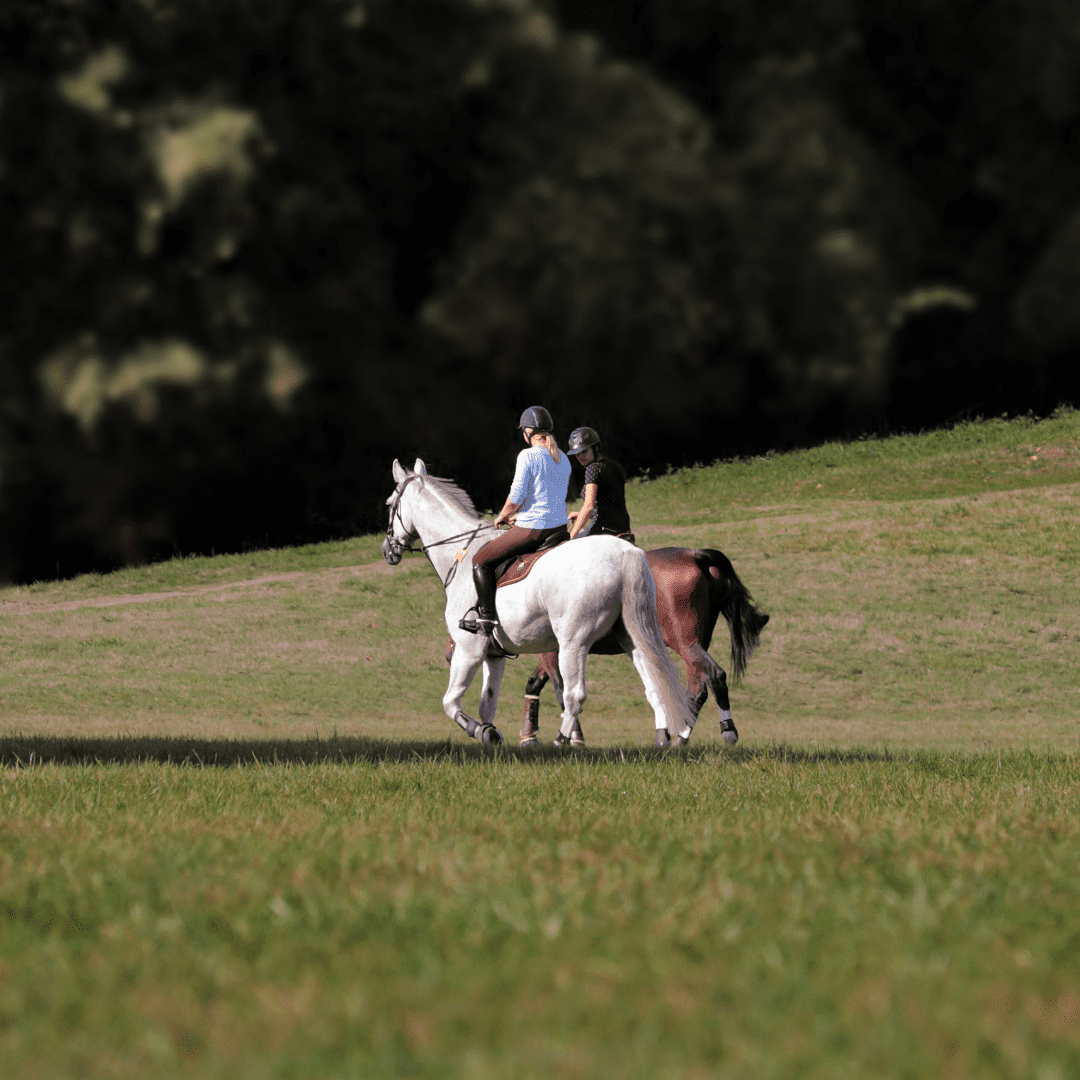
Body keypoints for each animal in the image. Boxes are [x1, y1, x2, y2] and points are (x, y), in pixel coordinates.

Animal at [381, 459, 697, 746]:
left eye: (389, 504)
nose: (387, 550)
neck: (460, 554)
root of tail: (624, 552)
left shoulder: (468, 650)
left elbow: (450, 702)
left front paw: (477, 730)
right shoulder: (494, 656)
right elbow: (487, 704)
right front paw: (489, 733)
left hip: (573, 643)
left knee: (574, 694)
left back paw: (562, 741)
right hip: (631, 636)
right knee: (654, 684)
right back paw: (663, 738)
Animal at [518, 548, 769, 747]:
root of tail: (694, 554)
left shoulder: (554, 651)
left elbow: (560, 690)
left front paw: (572, 737)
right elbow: (534, 683)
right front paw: (529, 735)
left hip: (686, 643)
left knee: (715, 675)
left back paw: (723, 730)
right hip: (694, 645)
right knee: (698, 688)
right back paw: (681, 736)